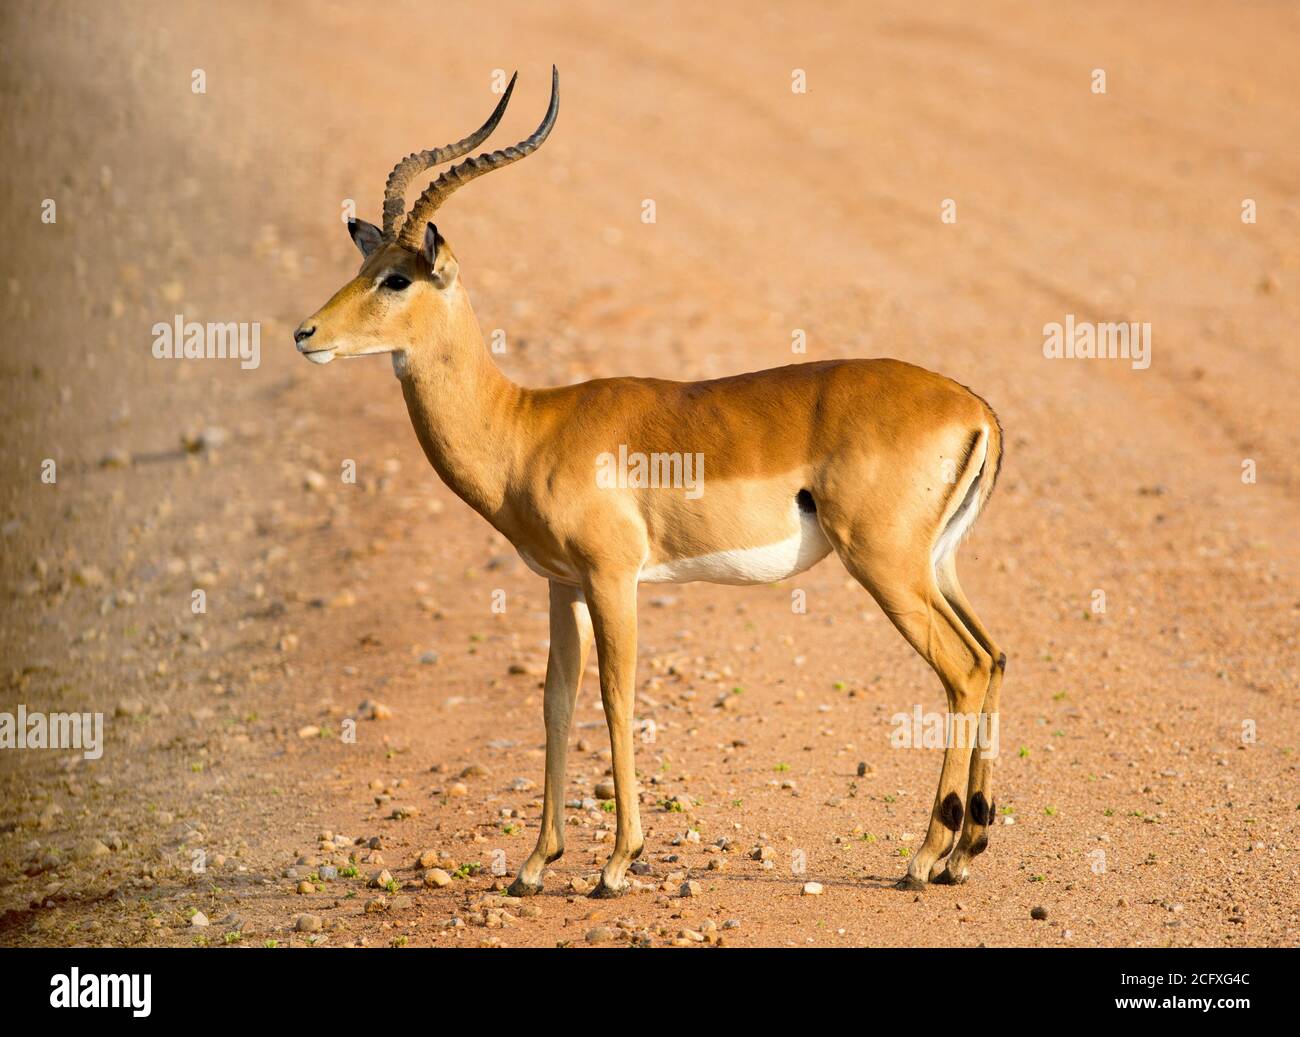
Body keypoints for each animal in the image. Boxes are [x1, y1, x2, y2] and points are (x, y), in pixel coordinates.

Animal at [294, 68, 1006, 895]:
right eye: (363, 267)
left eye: (396, 278)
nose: (306, 333)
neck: (528, 426)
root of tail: (977, 408)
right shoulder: (561, 583)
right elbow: (555, 701)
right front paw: (535, 863)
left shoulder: (613, 576)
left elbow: (615, 695)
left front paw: (616, 862)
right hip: (936, 565)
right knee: (993, 655)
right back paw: (965, 850)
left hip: (885, 564)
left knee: (962, 669)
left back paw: (923, 857)